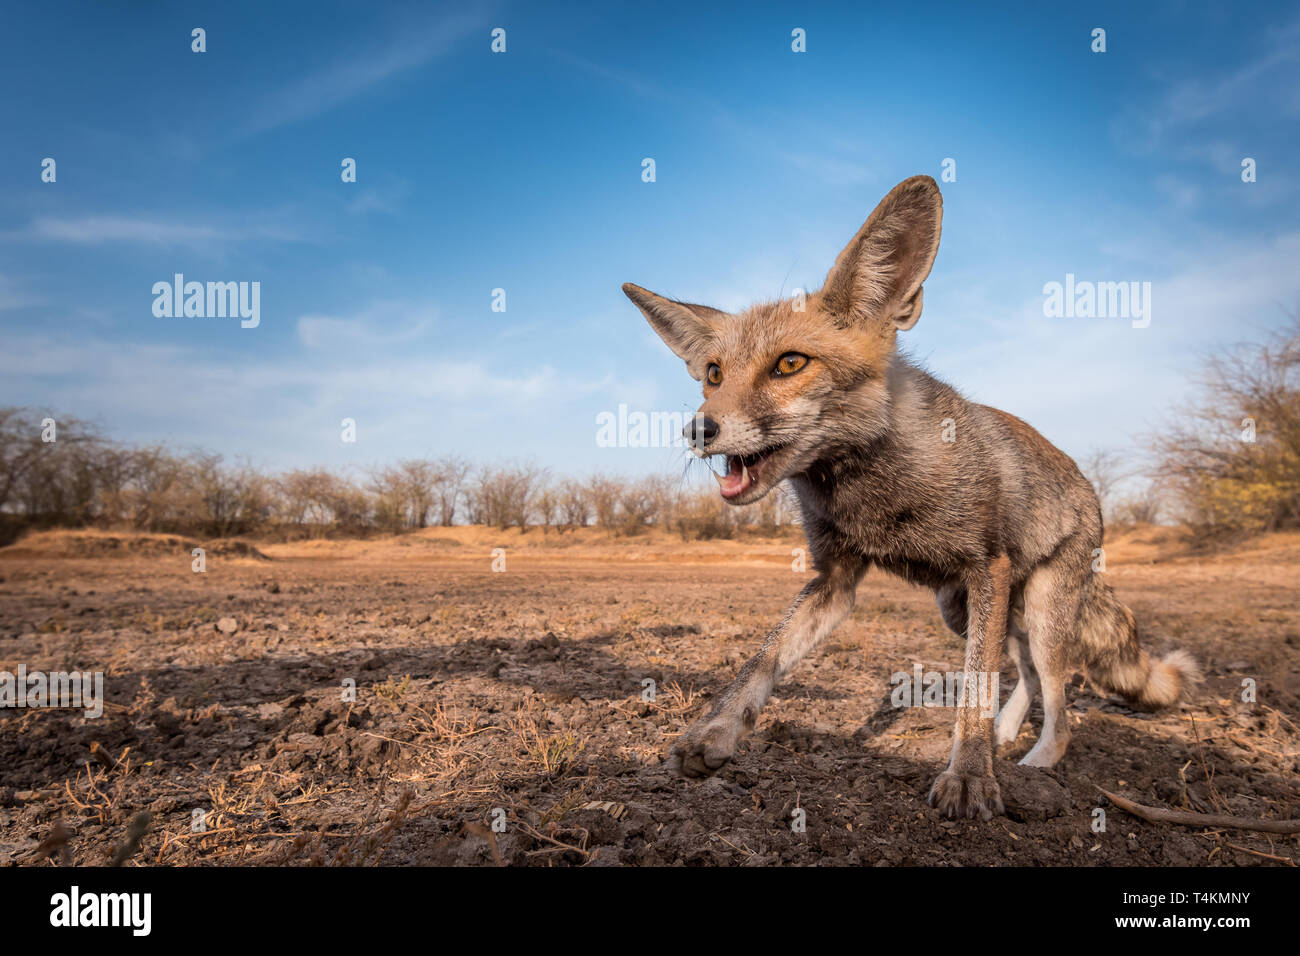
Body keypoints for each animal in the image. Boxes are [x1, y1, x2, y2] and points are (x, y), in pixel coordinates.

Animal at [622, 175, 1199, 820]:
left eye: (790, 363)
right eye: (714, 375)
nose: (699, 430)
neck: (867, 490)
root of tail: (1090, 492)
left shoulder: (987, 566)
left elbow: (973, 691)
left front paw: (971, 778)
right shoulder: (836, 580)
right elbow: (760, 661)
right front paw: (713, 733)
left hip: (1039, 611)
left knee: (1061, 699)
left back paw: (1035, 764)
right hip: (970, 612)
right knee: (1023, 675)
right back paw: (1006, 735)